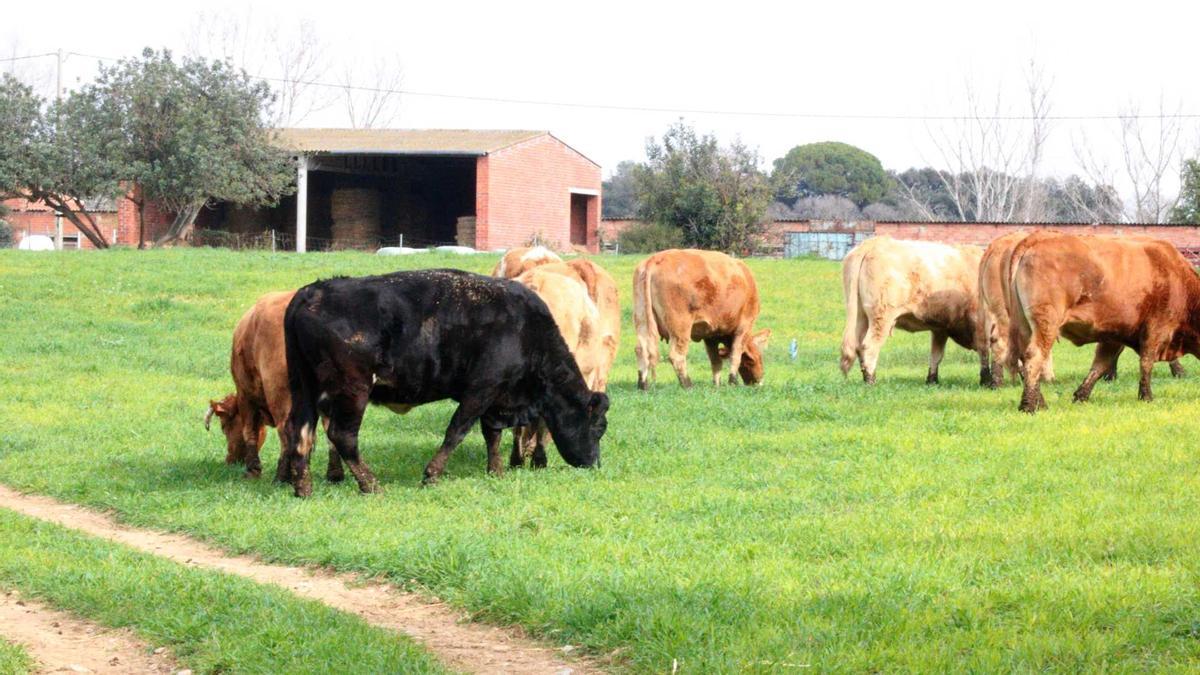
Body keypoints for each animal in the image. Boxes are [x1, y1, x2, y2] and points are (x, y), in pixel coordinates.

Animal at [205, 291, 348, 480]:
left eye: (223, 427)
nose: (229, 460)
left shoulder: (245, 393)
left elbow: (248, 431)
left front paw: (252, 471)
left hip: (279, 395)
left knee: (286, 432)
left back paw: (282, 477)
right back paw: (334, 474)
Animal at [279, 266, 609, 494]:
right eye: (599, 427)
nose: (594, 464)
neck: (527, 331)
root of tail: (313, 291)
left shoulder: (494, 398)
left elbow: (492, 434)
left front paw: (496, 471)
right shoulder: (480, 391)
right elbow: (457, 431)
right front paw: (432, 474)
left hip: (304, 388)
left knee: (300, 432)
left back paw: (303, 488)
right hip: (352, 390)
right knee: (342, 435)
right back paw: (371, 484)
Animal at [638, 247, 768, 386]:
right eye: (754, 359)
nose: (758, 380)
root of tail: (656, 258)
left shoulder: (710, 335)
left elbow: (716, 361)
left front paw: (717, 385)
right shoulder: (743, 327)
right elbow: (735, 356)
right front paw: (732, 382)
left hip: (642, 320)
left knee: (642, 350)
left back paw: (643, 385)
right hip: (680, 327)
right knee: (677, 356)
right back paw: (688, 385)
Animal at [840, 236, 988, 384]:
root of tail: (875, 242)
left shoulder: (940, 327)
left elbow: (936, 355)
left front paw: (932, 381)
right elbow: (984, 349)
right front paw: (986, 380)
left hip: (860, 316)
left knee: (858, 345)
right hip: (881, 317)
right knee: (869, 346)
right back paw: (870, 381)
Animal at [1003, 229, 1200, 410]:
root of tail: (1039, 237)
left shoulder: (1113, 335)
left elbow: (1100, 365)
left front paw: (1081, 396)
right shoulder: (1156, 328)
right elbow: (1146, 362)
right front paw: (1146, 397)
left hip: (1025, 326)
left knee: (1023, 359)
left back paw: (1040, 402)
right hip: (1046, 322)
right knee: (1034, 356)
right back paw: (1029, 406)